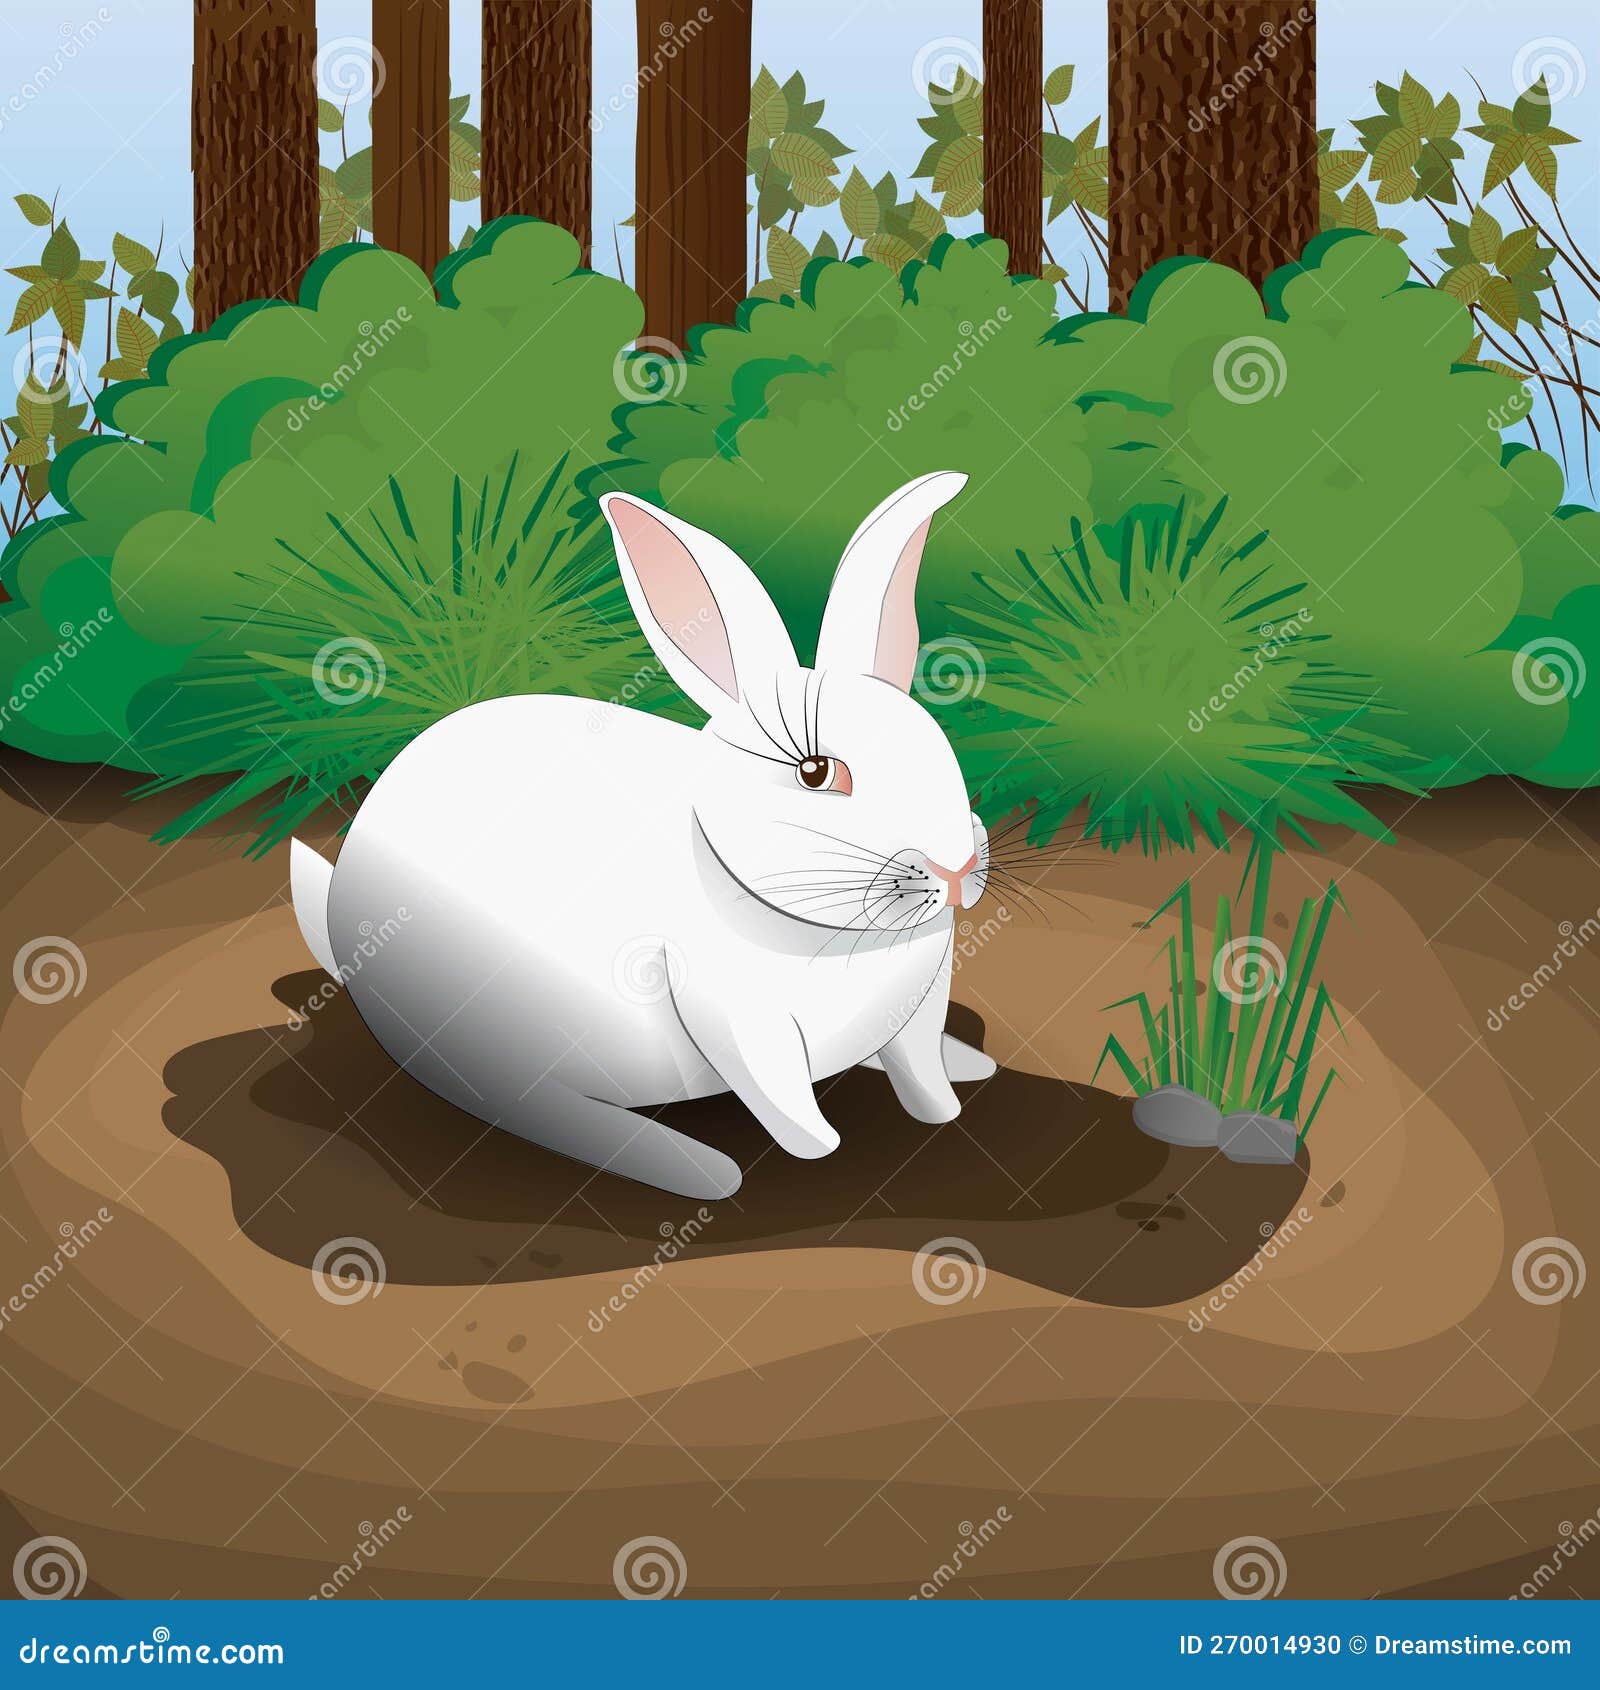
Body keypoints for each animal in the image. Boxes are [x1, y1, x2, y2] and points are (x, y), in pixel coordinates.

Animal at [289, 470, 996, 1201]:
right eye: (815, 771)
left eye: (937, 745)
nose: (955, 870)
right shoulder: (738, 1021)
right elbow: (781, 1096)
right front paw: (818, 1147)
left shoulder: (915, 1012)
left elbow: (916, 1067)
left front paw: (942, 1106)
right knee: (539, 1112)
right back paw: (700, 1171)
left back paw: (970, 1063)